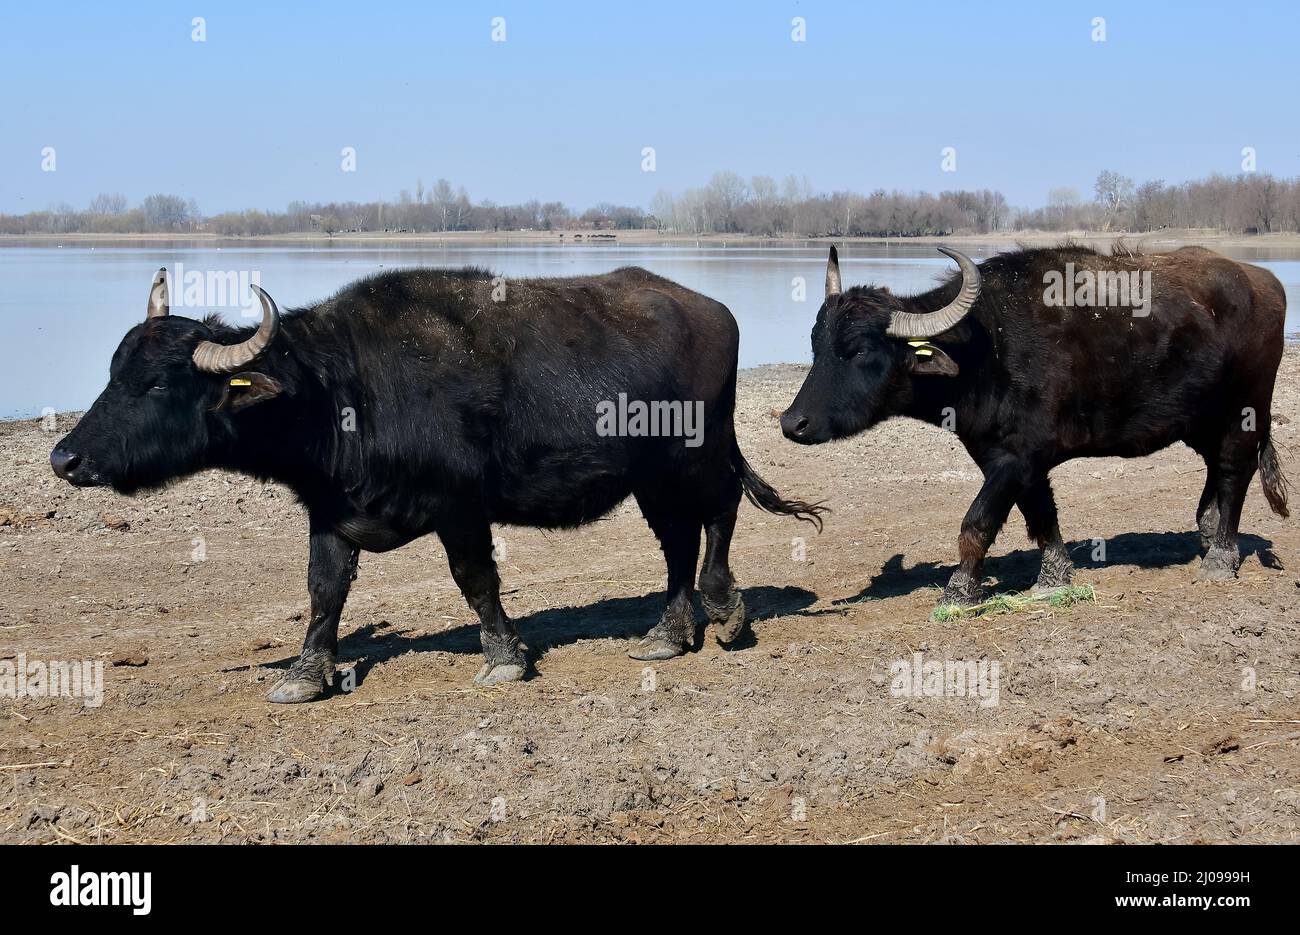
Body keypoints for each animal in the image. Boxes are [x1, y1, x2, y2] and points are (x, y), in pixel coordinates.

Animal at [52, 267, 821, 702]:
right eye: (113, 371)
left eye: (157, 383)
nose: (64, 458)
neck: (339, 388)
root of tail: (712, 310)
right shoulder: (330, 513)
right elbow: (323, 590)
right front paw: (305, 672)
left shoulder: (460, 506)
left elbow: (475, 579)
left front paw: (504, 658)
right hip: (649, 474)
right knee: (676, 540)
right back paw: (670, 629)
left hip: (693, 452)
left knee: (718, 513)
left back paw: (724, 610)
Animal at [782, 244, 1288, 605]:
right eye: (816, 344)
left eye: (859, 350)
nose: (793, 423)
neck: (988, 348)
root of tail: (1265, 282)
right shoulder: (1012, 459)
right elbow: (1040, 513)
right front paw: (1054, 577)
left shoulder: (1016, 458)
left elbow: (977, 522)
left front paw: (959, 590)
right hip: (1199, 420)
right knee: (1215, 470)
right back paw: (1206, 530)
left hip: (1245, 411)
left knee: (1234, 471)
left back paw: (1221, 555)